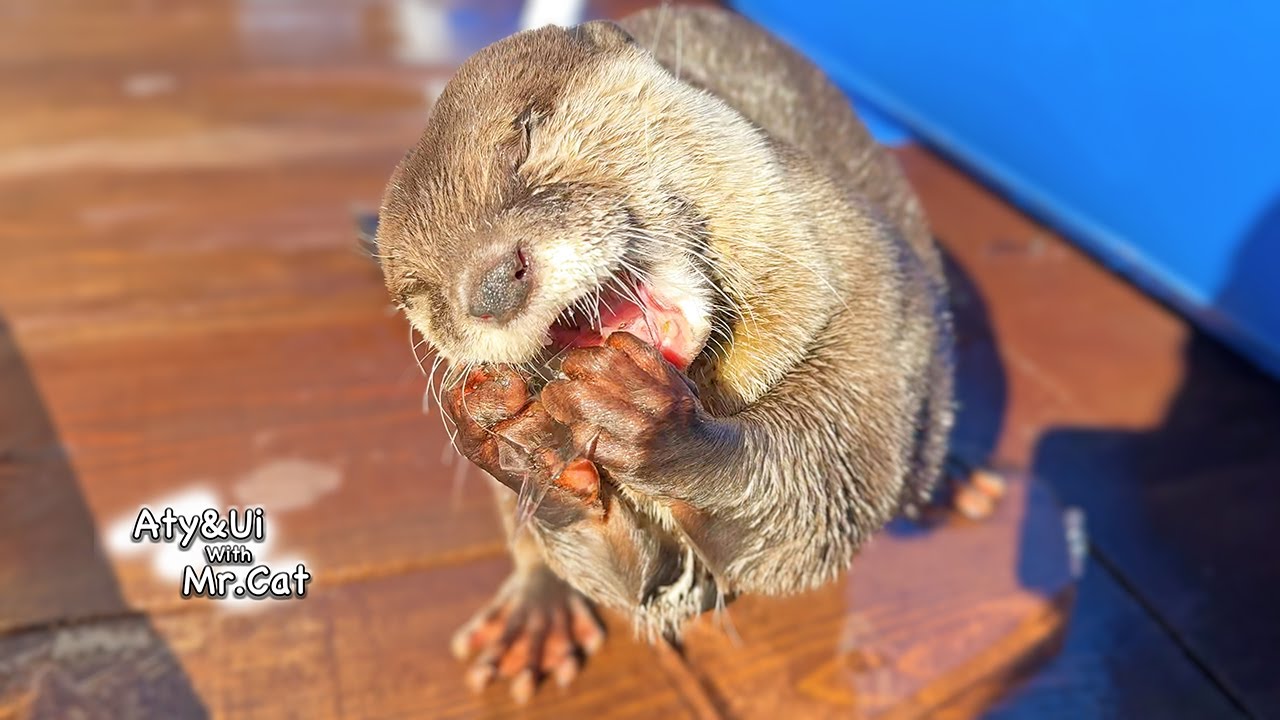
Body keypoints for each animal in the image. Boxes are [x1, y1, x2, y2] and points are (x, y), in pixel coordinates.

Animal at [374, 6, 955, 703]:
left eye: (524, 139)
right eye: (419, 293)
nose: (487, 288)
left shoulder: (869, 317)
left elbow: (818, 504)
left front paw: (642, 418)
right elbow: (637, 580)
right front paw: (517, 445)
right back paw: (536, 613)